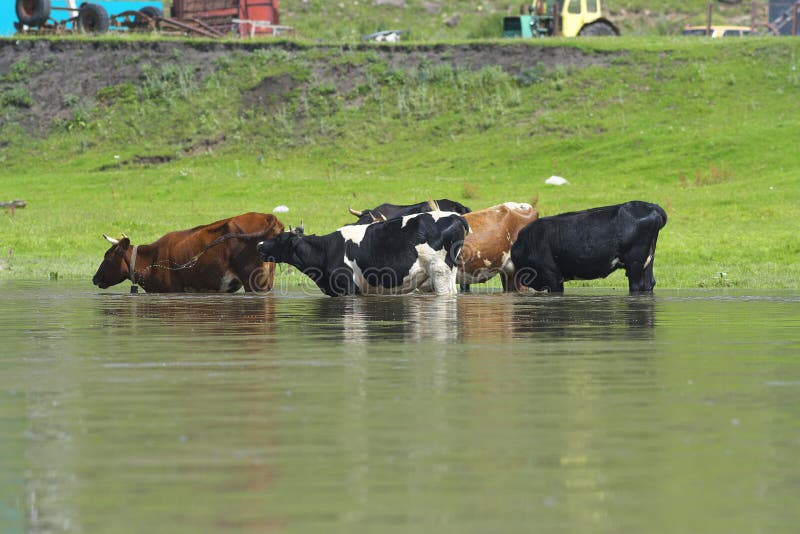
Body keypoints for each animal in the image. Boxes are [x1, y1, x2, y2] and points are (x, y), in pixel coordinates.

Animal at [257, 211, 469, 296]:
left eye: (279, 238)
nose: (259, 245)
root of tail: (455, 216)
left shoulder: (347, 288)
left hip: (439, 271)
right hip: (449, 273)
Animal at [510, 201, 667, 293]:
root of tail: (652, 206)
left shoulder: (551, 275)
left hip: (635, 262)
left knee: (637, 286)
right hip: (647, 261)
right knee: (648, 284)